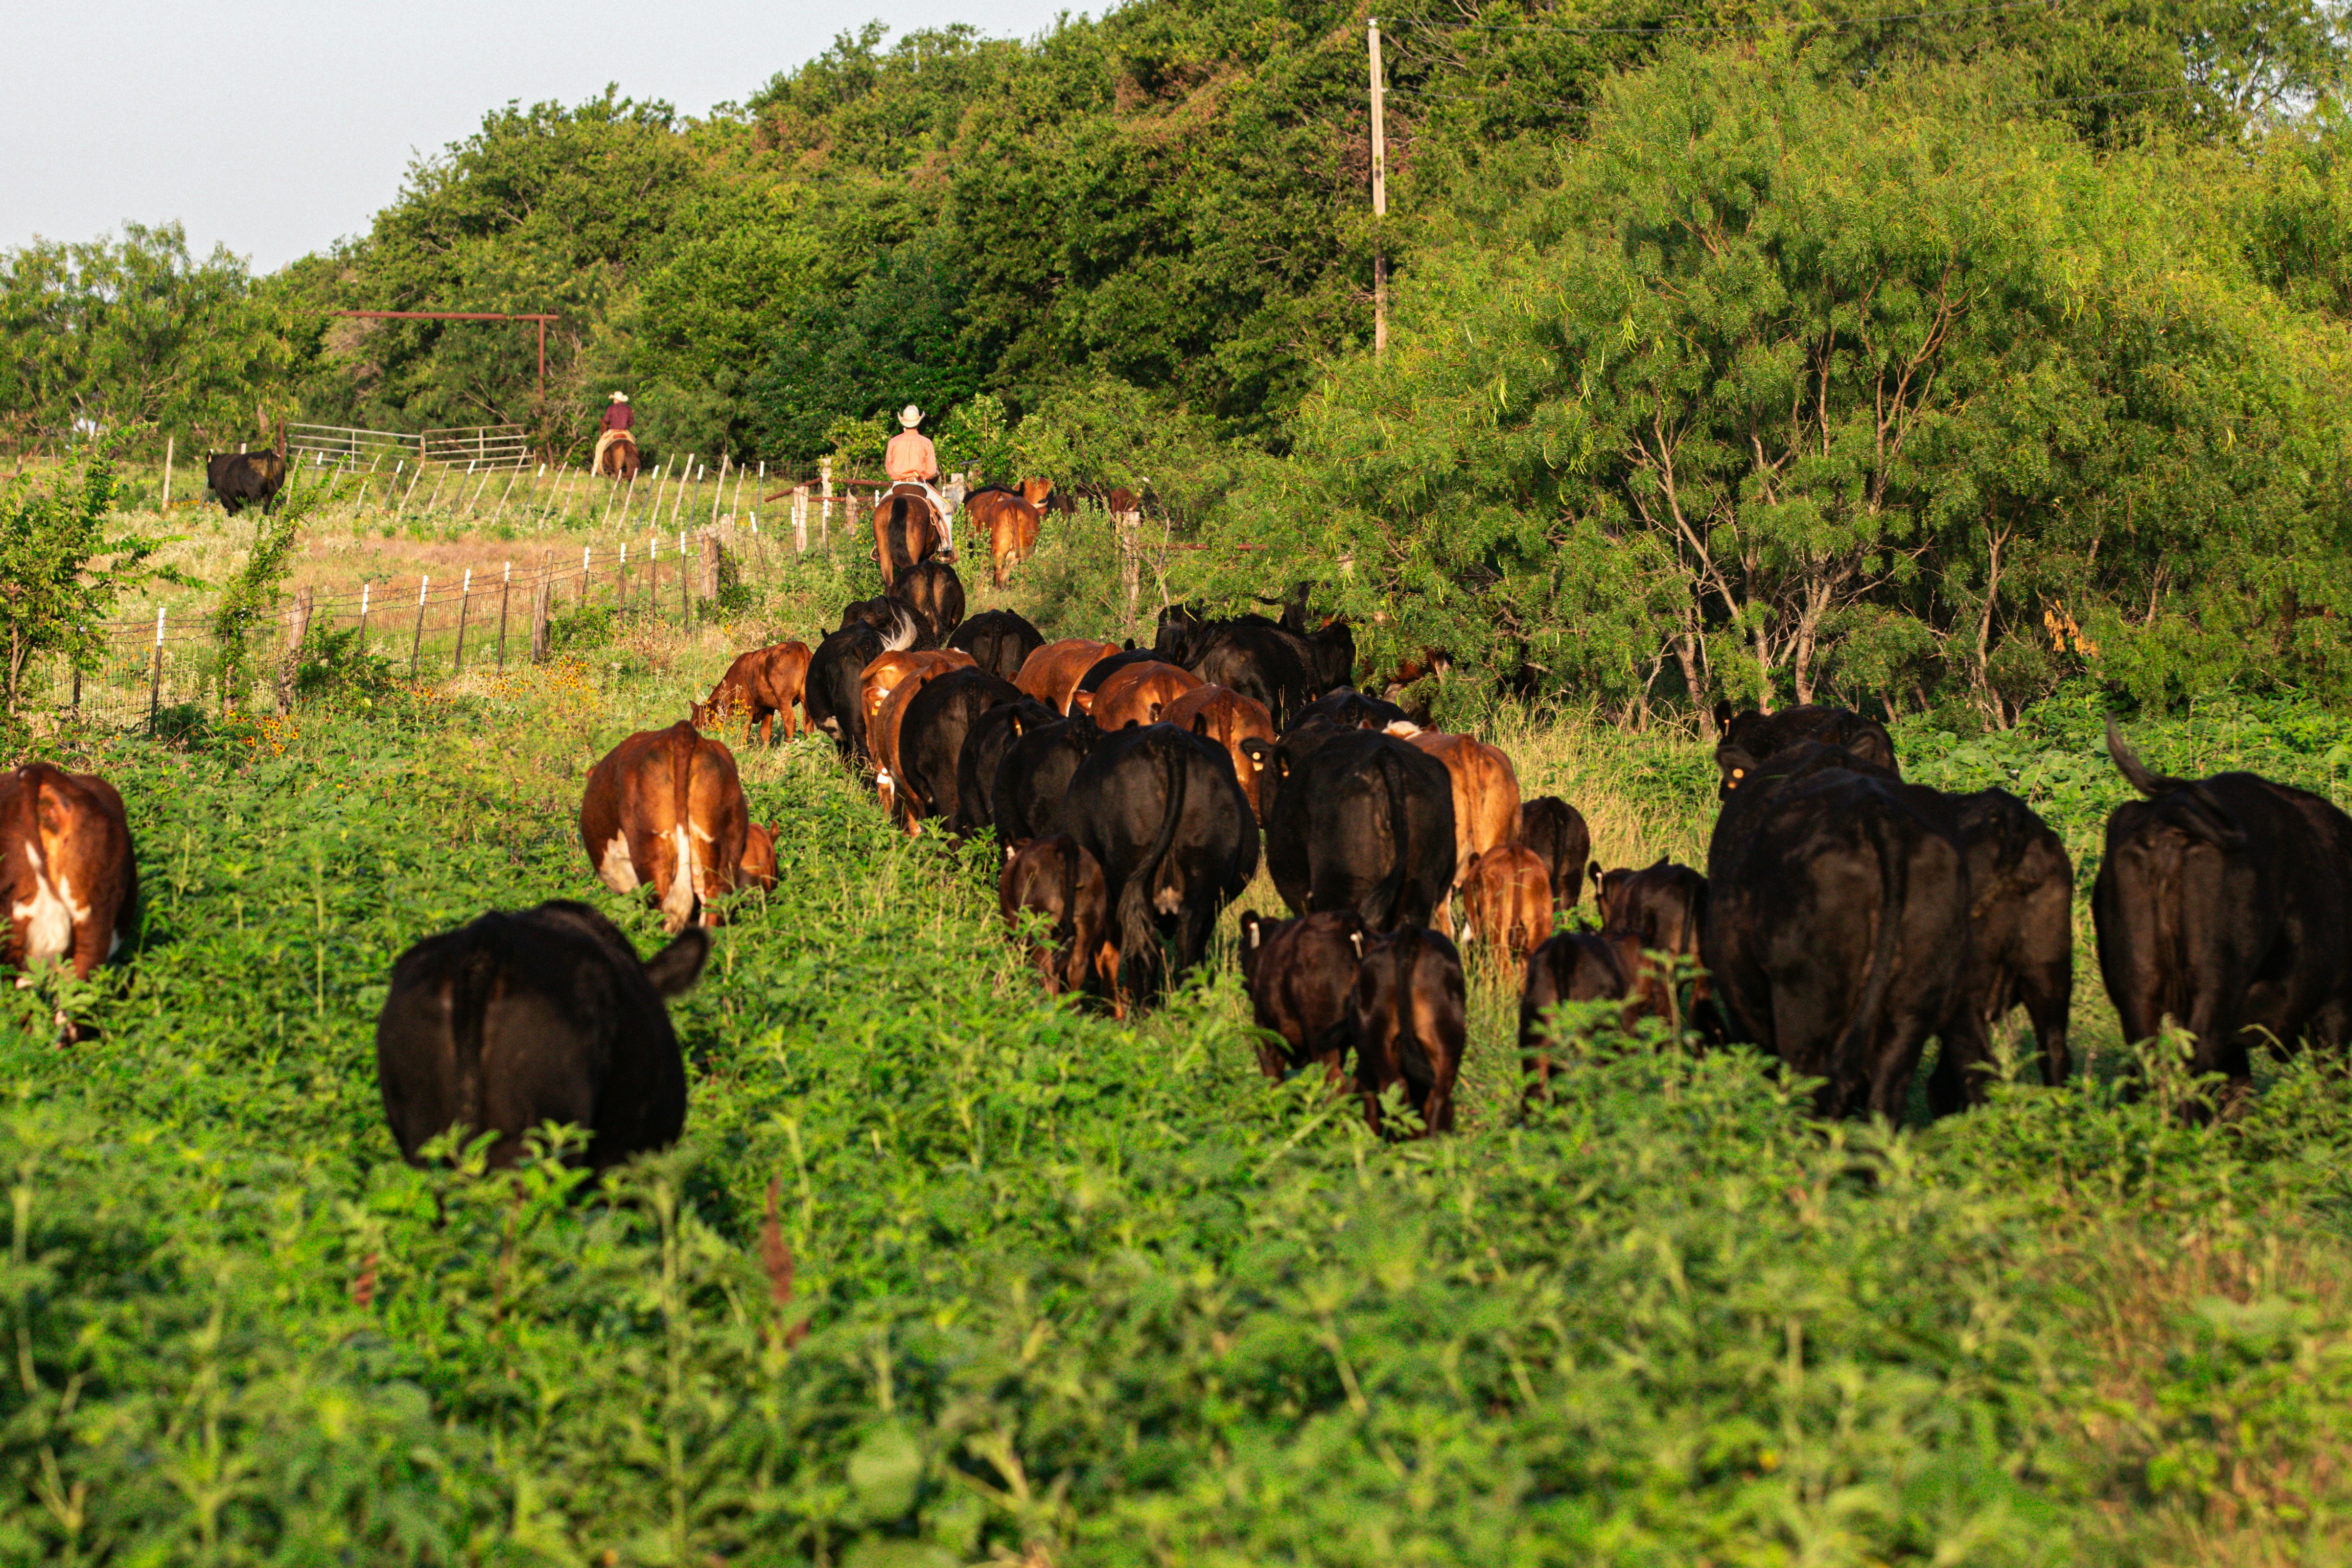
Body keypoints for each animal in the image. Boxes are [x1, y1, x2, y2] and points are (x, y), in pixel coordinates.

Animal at [205, 450, 287, 516]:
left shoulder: (225, 497)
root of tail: (266, 452)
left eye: (208, 468)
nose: (209, 484)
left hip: (256, 496)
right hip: (274, 492)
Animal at [690, 641, 811, 746]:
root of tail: (800, 646)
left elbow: (745, 730)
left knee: (790, 721)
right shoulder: (768, 708)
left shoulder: (749, 708)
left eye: (705, 723)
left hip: (784, 699)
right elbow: (765, 732)